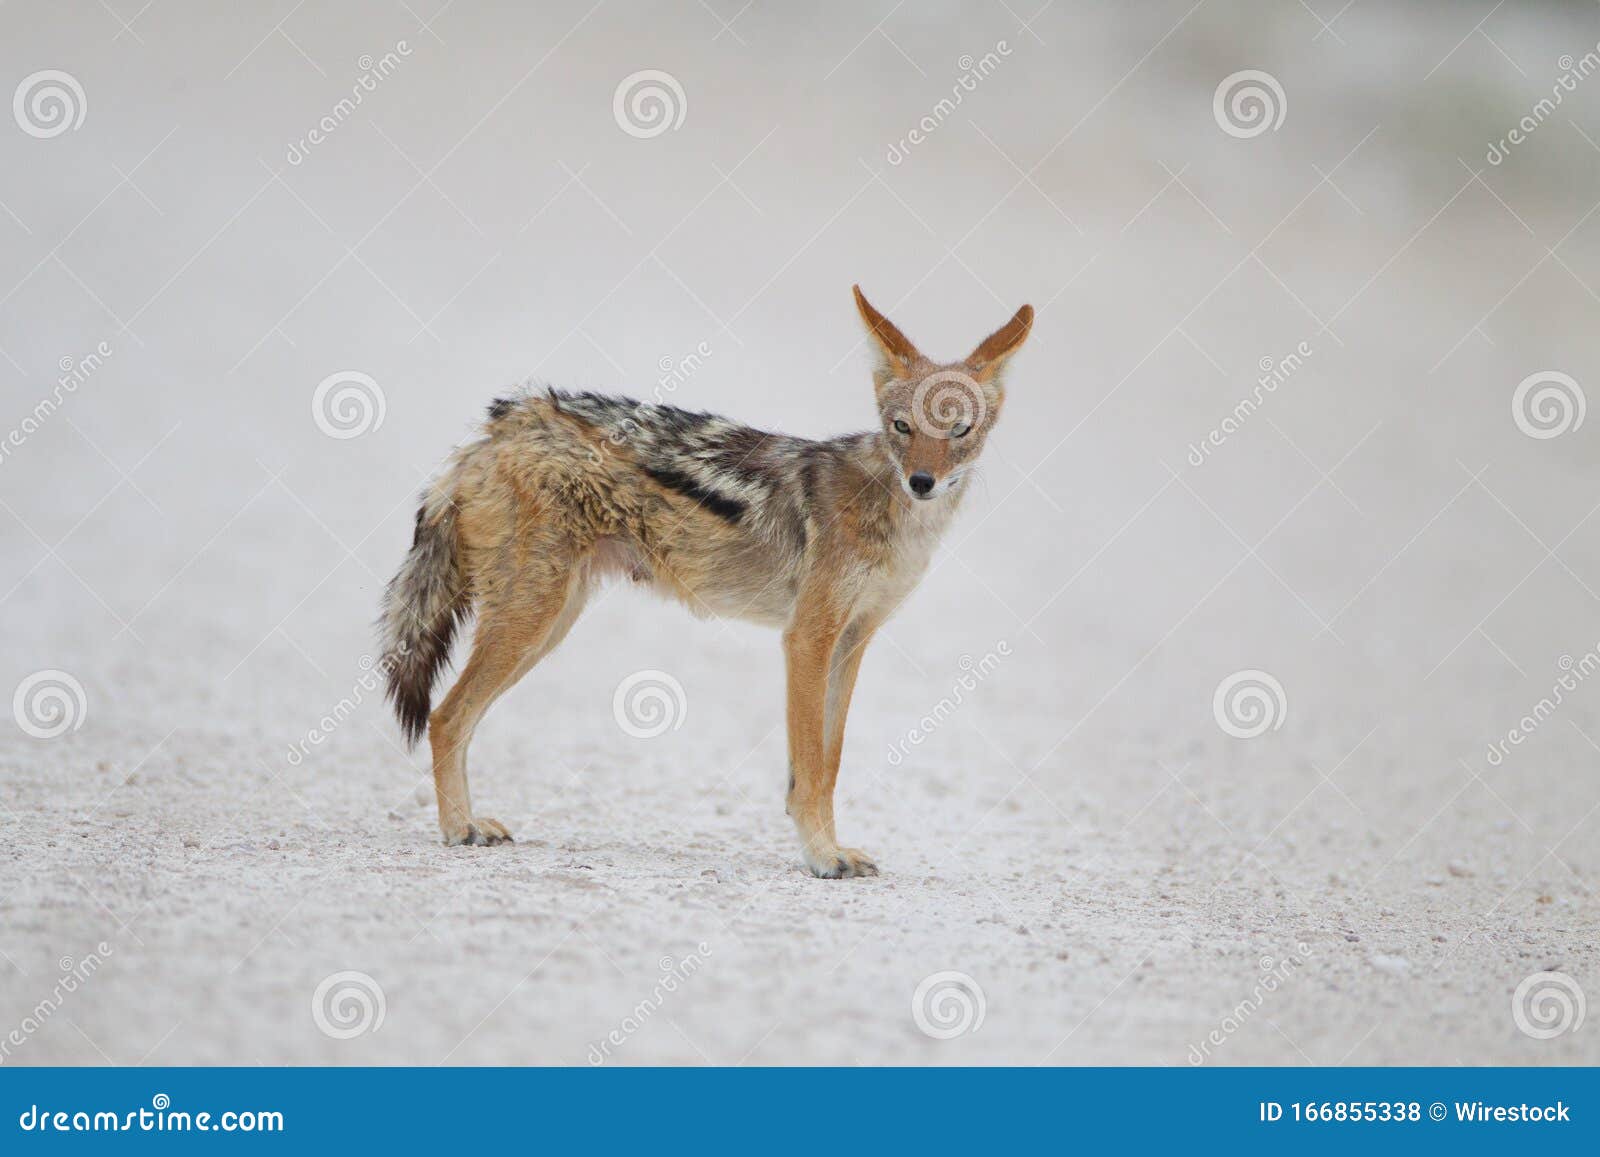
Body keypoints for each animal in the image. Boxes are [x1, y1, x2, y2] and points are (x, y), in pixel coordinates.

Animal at [379, 286, 1033, 878]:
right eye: (901, 426)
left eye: (959, 431)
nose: (922, 481)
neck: (899, 520)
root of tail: (501, 425)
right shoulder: (806, 639)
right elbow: (810, 771)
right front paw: (822, 857)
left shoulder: (851, 644)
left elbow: (829, 763)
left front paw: (831, 848)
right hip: (531, 620)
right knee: (445, 717)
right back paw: (459, 829)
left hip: (549, 625)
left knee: (453, 717)